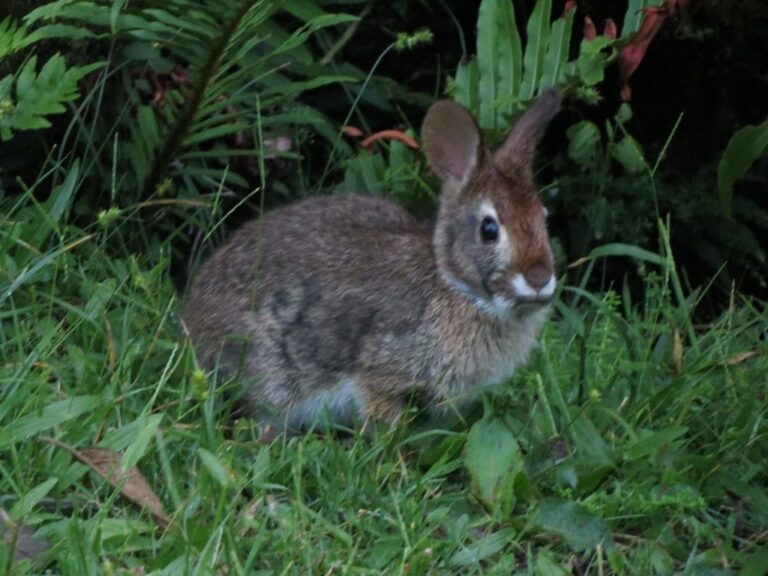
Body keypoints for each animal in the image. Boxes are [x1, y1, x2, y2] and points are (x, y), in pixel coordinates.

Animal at [183, 90, 561, 432]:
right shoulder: (381, 373)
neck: (454, 286)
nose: (540, 278)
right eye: (489, 229)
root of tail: (193, 317)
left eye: (543, 218)